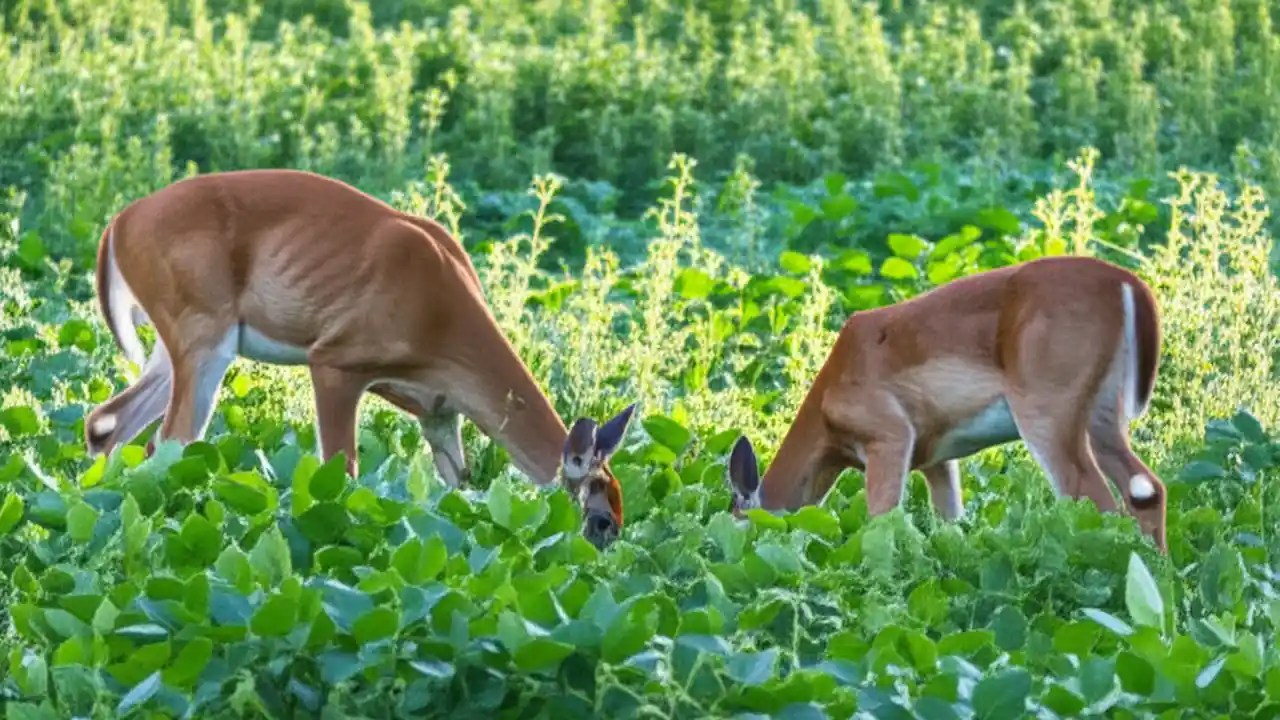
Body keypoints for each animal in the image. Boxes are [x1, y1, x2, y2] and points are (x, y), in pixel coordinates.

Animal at [81, 168, 635, 549]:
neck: (441, 310)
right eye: (601, 519)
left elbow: (458, 485)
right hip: (203, 337)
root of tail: (117, 225)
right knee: (169, 439)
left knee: (107, 424)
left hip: (174, 349)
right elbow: (340, 473)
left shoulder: (439, 412)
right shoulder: (335, 362)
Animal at [724, 255, 1168, 552]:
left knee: (1094, 497)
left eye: (738, 524)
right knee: (1145, 489)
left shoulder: (889, 434)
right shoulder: (936, 458)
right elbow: (951, 524)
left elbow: (881, 519)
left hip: (1048, 409)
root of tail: (1127, 284)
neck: (827, 407)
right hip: (1103, 413)